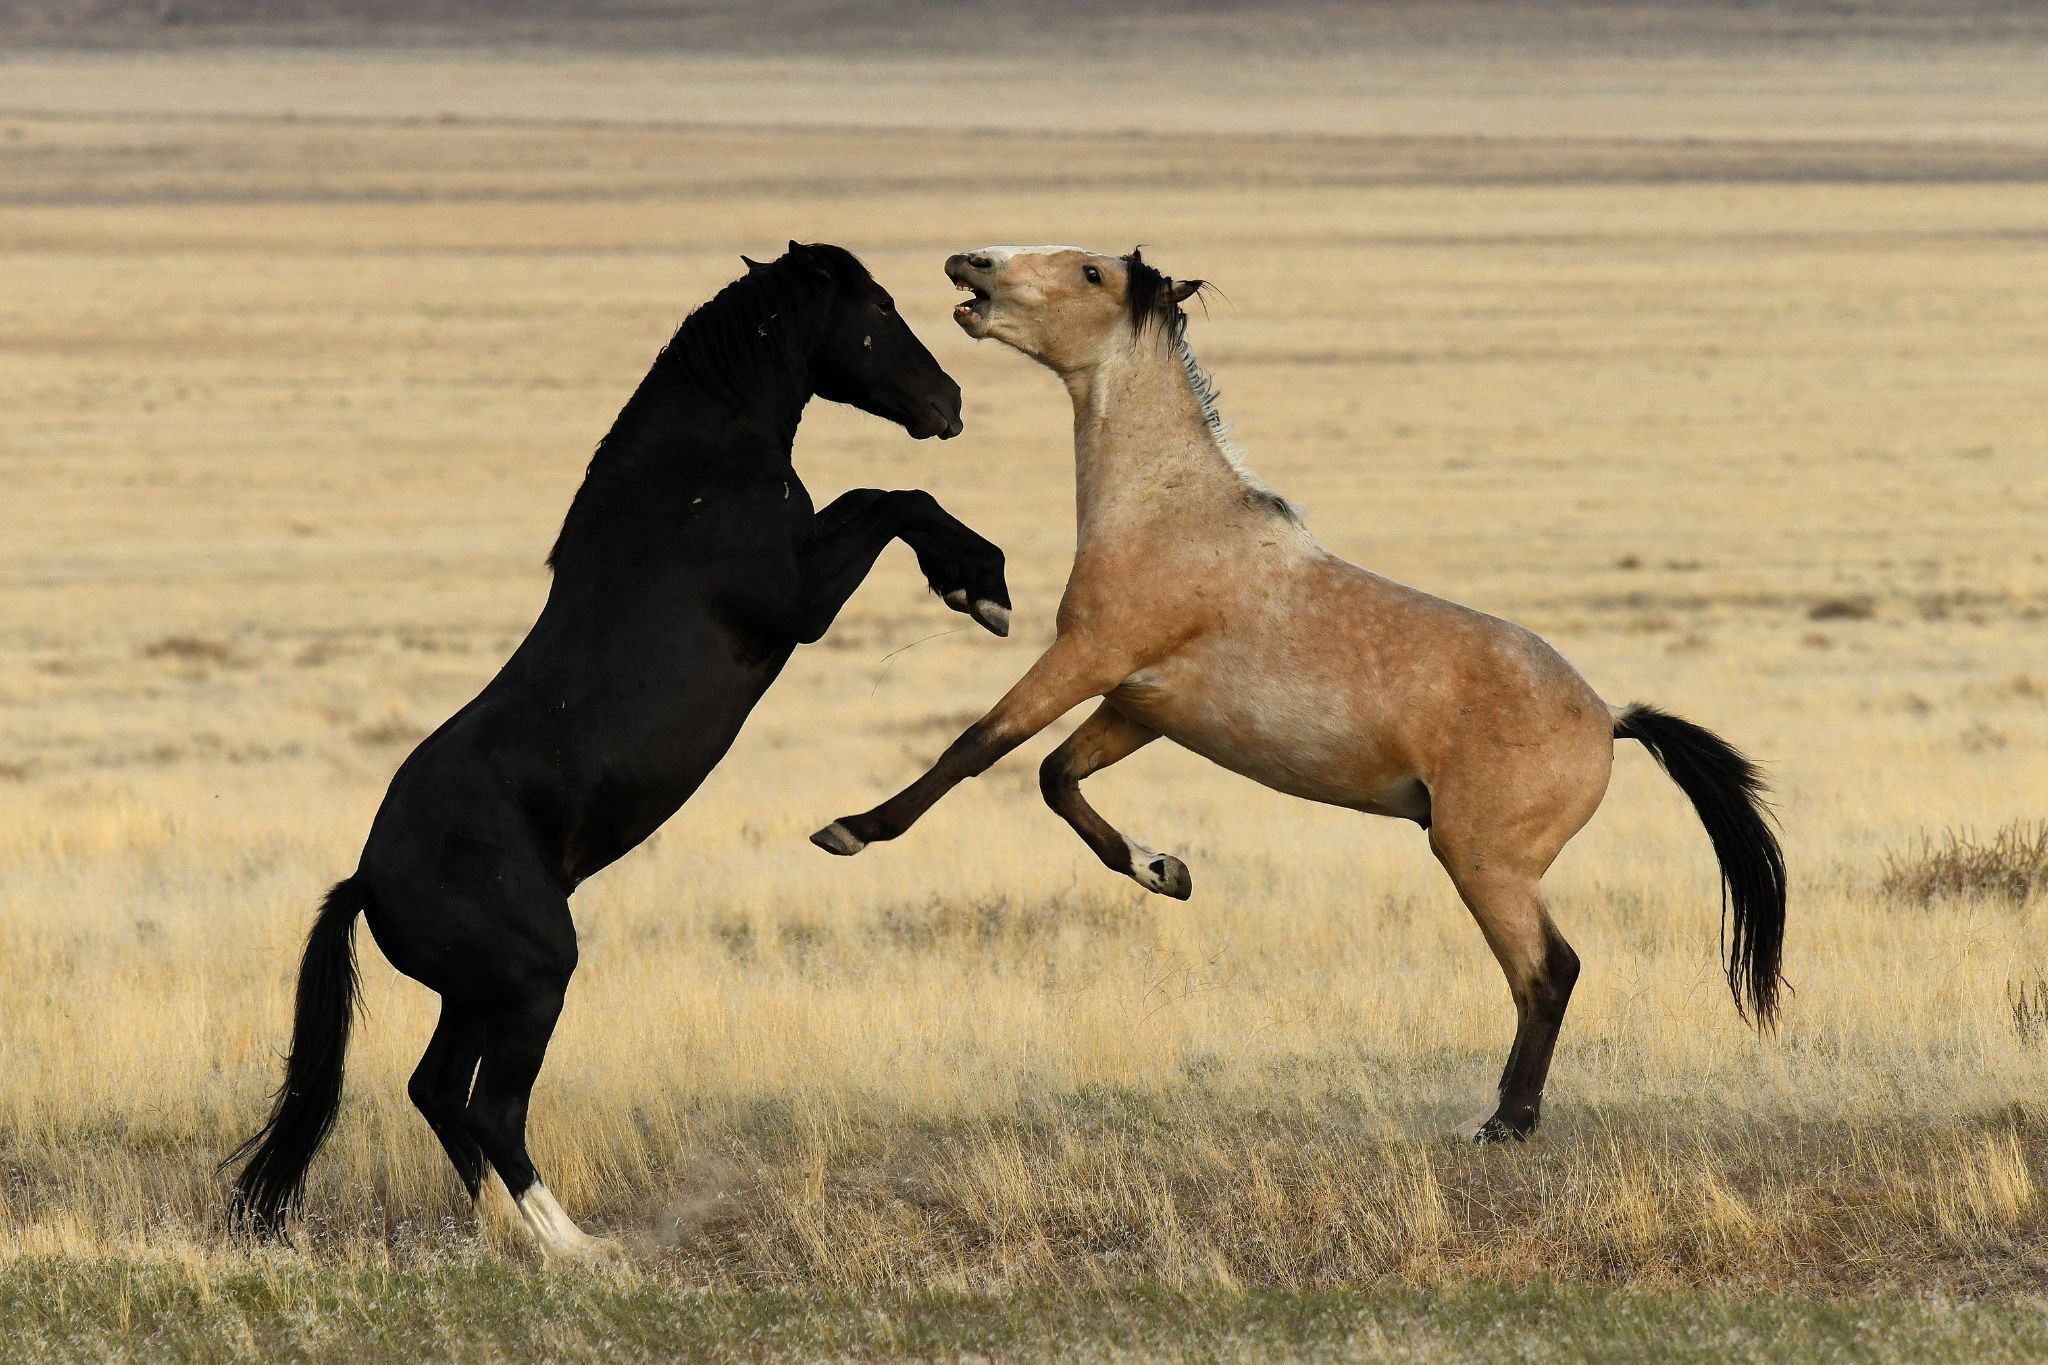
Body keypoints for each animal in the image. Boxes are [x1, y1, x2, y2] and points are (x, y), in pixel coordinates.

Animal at [227, 242, 1011, 1257]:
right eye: (876, 307)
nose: (948, 402)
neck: (697, 470)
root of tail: (367, 878)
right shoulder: (799, 599)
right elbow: (891, 497)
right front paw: (980, 585)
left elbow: (884, 497)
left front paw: (978, 583)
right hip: (533, 982)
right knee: (489, 1108)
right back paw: (580, 1249)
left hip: (477, 995)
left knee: (436, 1091)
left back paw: (503, 1233)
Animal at [812, 245, 1786, 1144]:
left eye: (1090, 271)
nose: (969, 264)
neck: (1172, 512)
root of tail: (1608, 717)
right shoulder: (1139, 704)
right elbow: (1057, 777)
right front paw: (1165, 871)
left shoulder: (1086, 658)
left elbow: (977, 746)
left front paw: (853, 829)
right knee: (1542, 974)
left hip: (1484, 862)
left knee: (1549, 971)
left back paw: (1505, 1121)